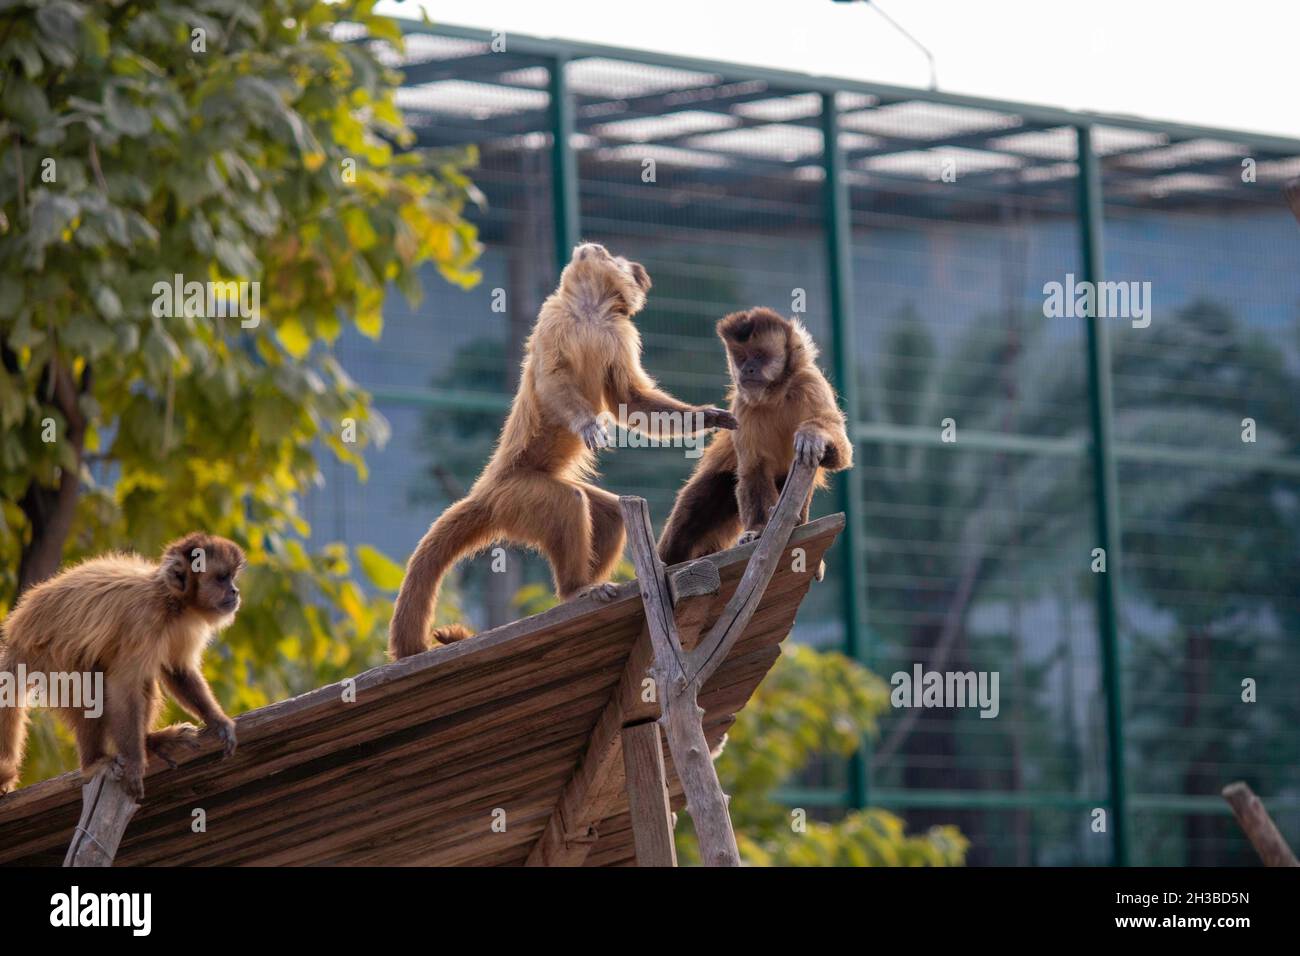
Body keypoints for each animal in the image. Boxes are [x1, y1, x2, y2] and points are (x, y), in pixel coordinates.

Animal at [0, 533, 243, 800]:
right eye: (221, 578)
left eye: (232, 577)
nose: (235, 591)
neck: (169, 601)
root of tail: (17, 635)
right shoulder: (144, 621)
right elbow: (123, 686)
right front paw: (135, 765)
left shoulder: (183, 625)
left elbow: (177, 671)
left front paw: (217, 721)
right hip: (49, 656)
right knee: (89, 686)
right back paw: (94, 763)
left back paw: (150, 740)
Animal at [389, 243, 738, 659]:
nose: (592, 247)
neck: (589, 312)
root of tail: (486, 489)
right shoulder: (552, 319)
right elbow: (552, 378)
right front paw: (587, 425)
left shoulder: (619, 333)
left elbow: (630, 401)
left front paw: (708, 416)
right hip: (517, 495)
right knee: (568, 501)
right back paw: (575, 591)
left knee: (609, 513)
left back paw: (584, 588)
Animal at [658, 307, 852, 569]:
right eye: (742, 357)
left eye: (759, 356)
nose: (747, 369)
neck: (777, 393)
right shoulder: (743, 405)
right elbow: (754, 467)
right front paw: (758, 530)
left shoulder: (811, 383)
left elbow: (841, 455)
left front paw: (814, 434)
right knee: (694, 510)